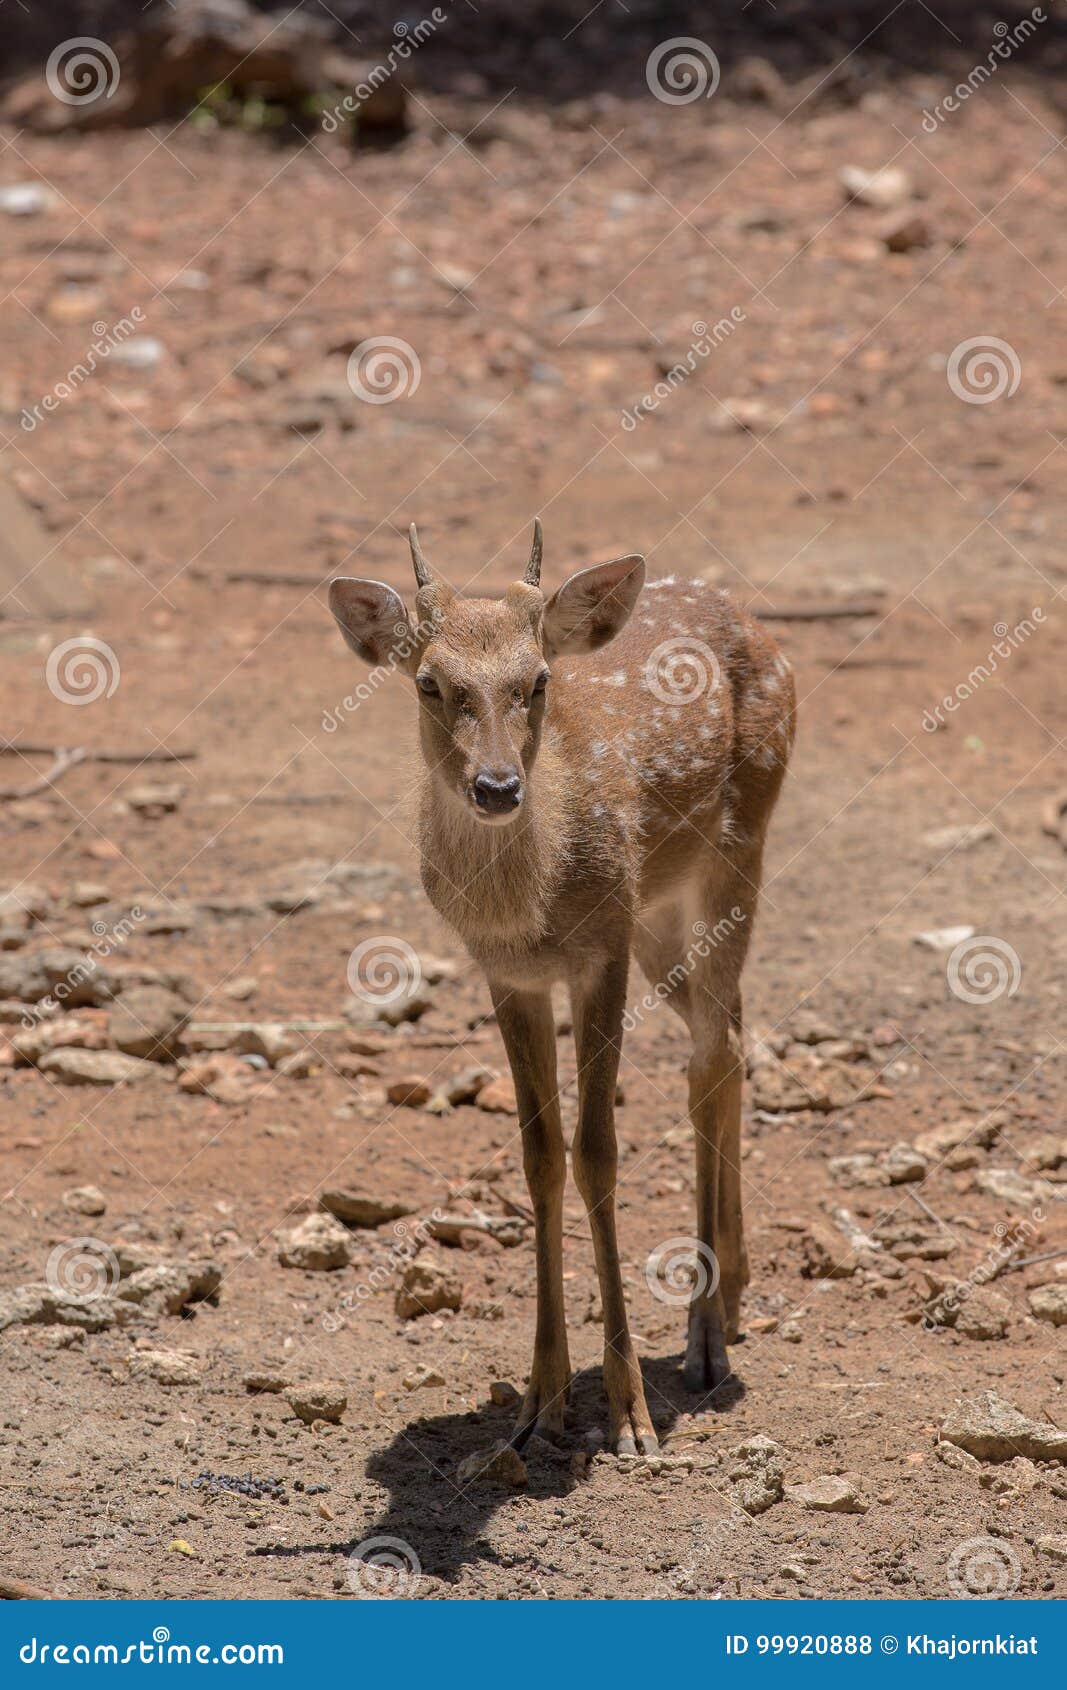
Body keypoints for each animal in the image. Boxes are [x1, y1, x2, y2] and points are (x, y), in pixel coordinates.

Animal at [327, 523, 796, 1455]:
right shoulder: (507, 973)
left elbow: (598, 1154)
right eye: (429, 682)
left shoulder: (598, 951)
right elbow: (540, 1157)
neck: (529, 910)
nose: (497, 787)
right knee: (728, 1034)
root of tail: (755, 624)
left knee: (709, 1055)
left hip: (738, 847)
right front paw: (539, 1403)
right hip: (658, 914)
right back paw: (731, 1288)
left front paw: (627, 1414)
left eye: (538, 679)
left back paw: (704, 1339)